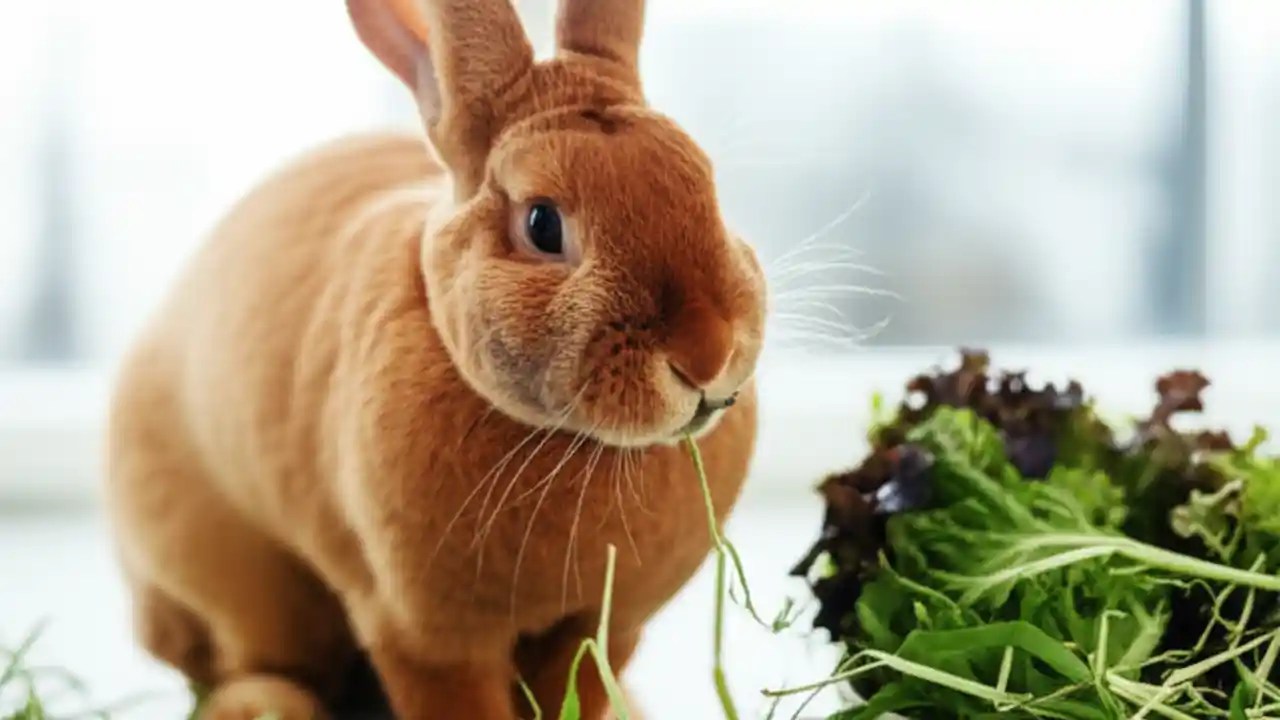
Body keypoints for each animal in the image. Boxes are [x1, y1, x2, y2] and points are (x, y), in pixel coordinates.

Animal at [103, 0, 766, 718]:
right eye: (542, 224)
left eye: (705, 183)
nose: (707, 353)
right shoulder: (424, 637)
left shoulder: (603, 628)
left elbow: (580, 688)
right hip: (241, 582)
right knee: (246, 661)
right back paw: (265, 706)